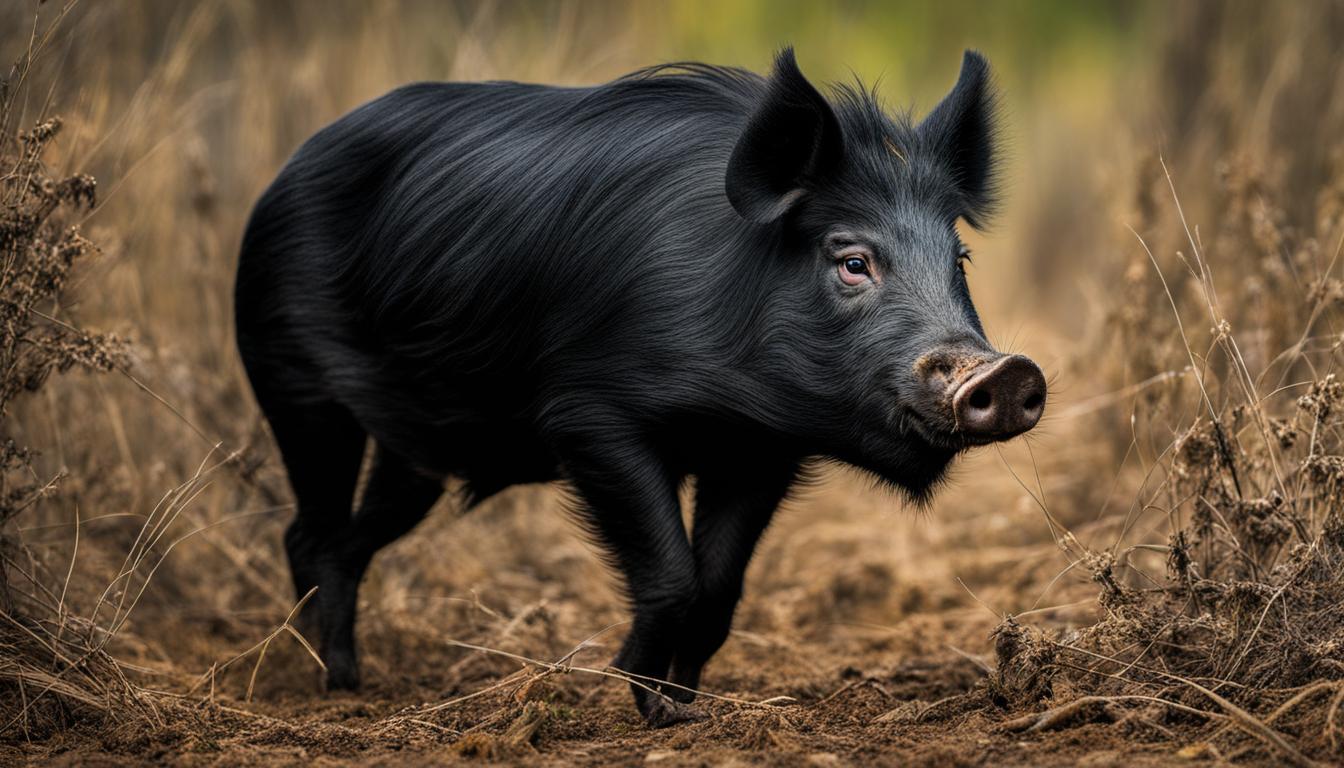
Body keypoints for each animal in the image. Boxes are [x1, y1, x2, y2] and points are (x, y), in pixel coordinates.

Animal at [234, 48, 1046, 727]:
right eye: (852, 261)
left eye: (960, 257)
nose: (1005, 371)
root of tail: (279, 178)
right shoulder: (591, 420)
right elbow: (672, 575)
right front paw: (648, 706)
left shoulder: (760, 451)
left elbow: (718, 591)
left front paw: (686, 710)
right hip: (293, 382)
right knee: (307, 528)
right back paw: (330, 684)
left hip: (415, 454)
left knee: (350, 537)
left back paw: (346, 678)